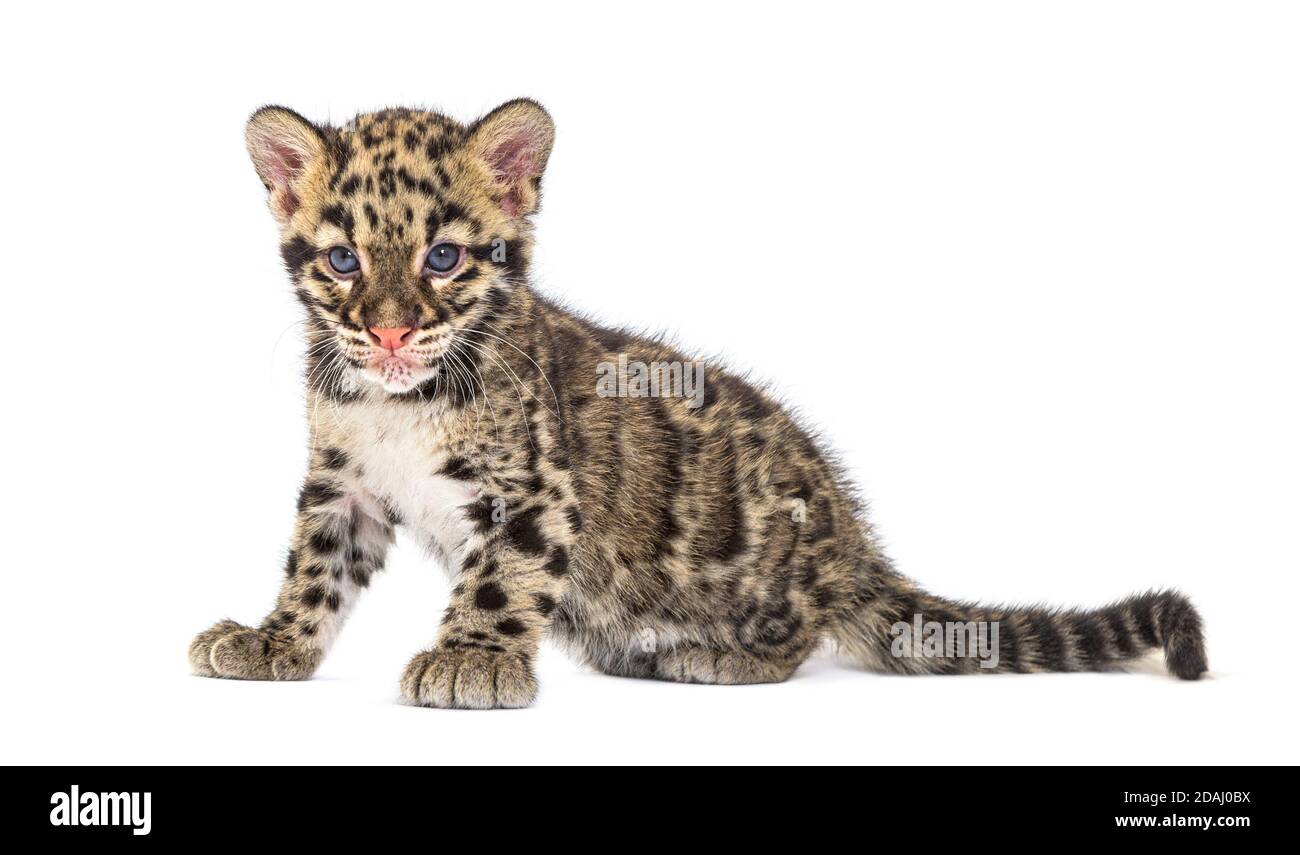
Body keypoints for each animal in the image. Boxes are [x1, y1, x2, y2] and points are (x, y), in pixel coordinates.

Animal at [189, 99, 1208, 708]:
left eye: (443, 258)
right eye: (342, 259)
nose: (394, 332)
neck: (396, 402)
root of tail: (851, 542)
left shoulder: (534, 489)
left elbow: (500, 578)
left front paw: (471, 656)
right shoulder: (343, 484)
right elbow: (314, 570)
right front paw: (271, 641)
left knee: (798, 637)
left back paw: (705, 656)